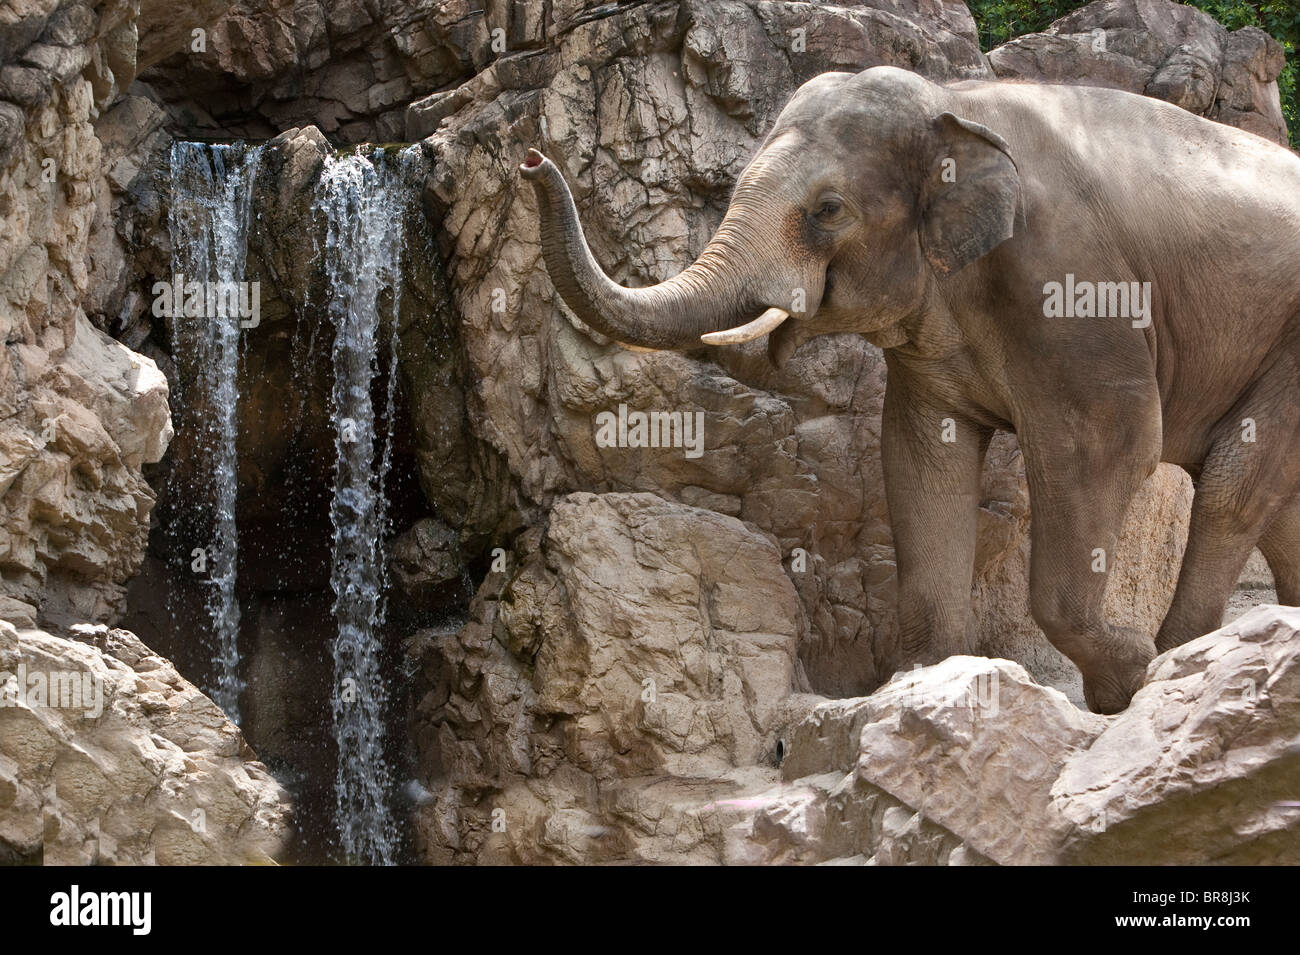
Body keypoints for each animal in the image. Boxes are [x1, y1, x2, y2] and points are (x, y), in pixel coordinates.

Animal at [519, 65, 1300, 713]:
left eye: (828, 209)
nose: (530, 158)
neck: (954, 101)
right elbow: (922, 455)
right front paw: (924, 681)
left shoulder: (1074, 289)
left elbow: (1111, 443)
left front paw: (1125, 678)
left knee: (1233, 484)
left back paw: (1176, 661)